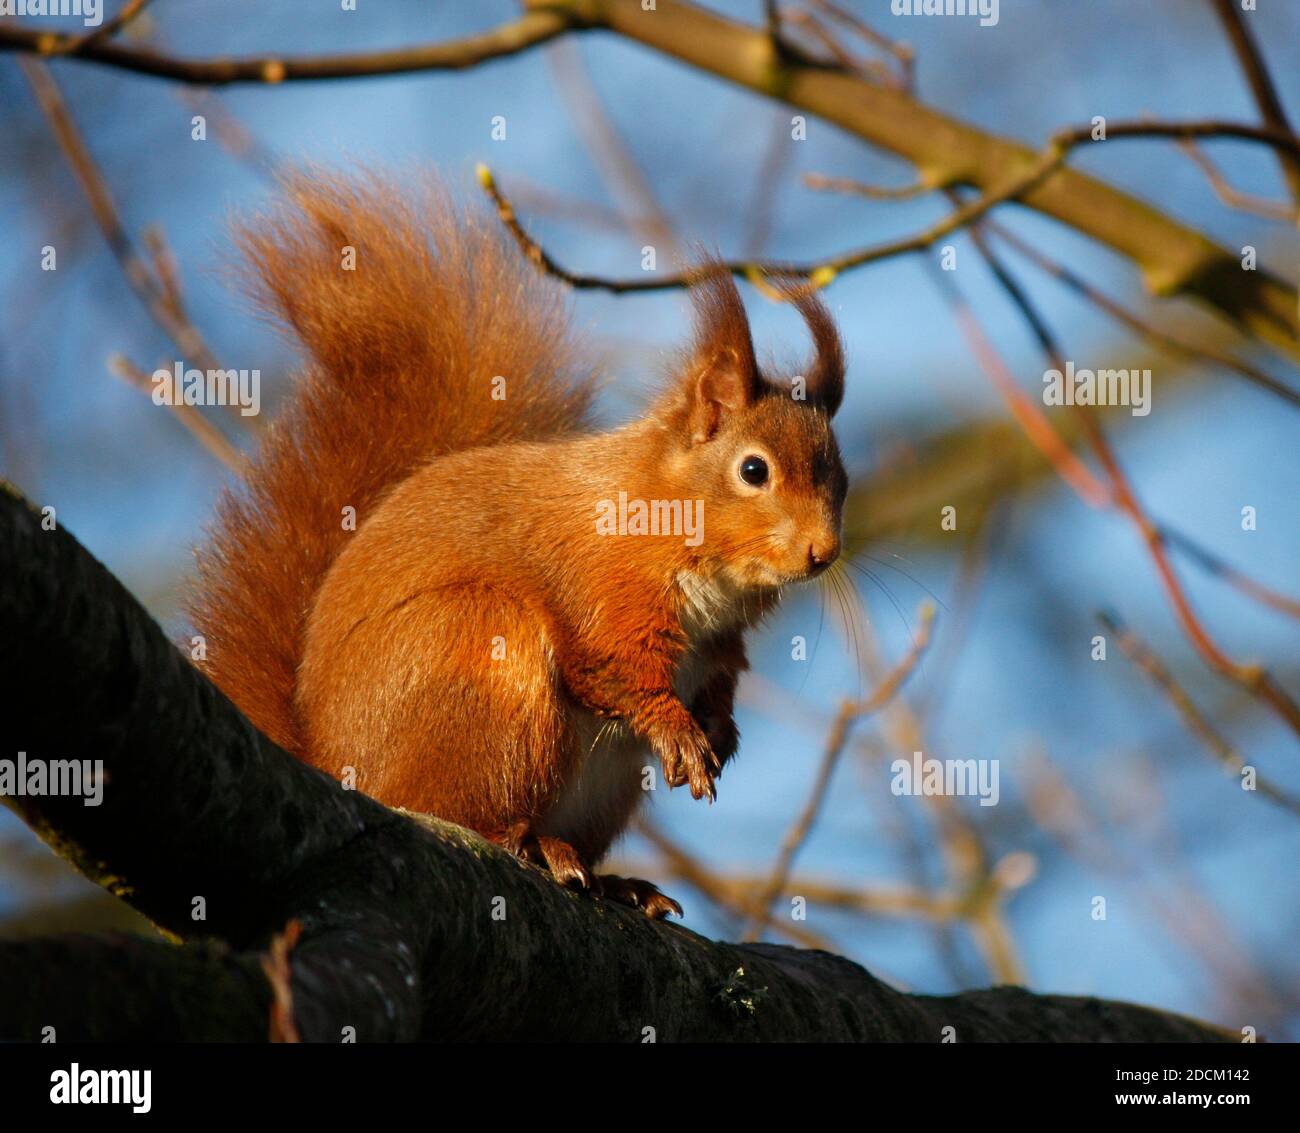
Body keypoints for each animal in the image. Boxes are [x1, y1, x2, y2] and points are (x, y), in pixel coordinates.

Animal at [189, 170, 848, 919]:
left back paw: (617, 882)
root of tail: (335, 765)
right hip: (479, 648)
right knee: (464, 807)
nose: (823, 552)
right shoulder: (604, 588)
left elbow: (721, 678)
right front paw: (675, 728)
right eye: (753, 470)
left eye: (842, 477)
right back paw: (531, 844)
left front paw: (721, 730)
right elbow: (613, 669)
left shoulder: (720, 643)